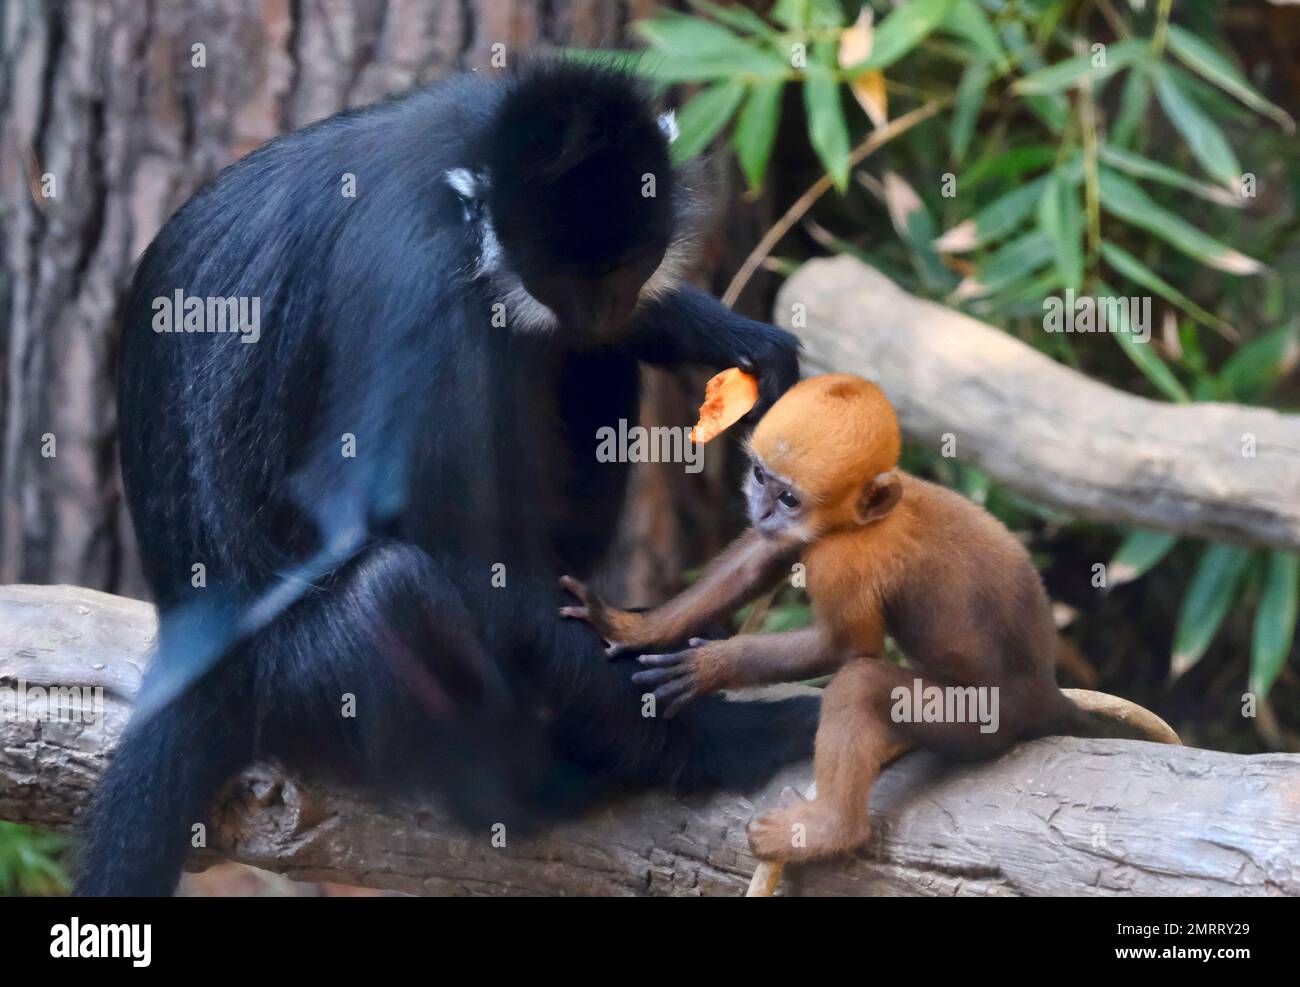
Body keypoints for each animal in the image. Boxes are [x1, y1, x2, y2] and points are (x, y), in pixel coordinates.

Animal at [78, 61, 820, 896]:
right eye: (561, 275)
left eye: (628, 269)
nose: (599, 309)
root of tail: (193, 643)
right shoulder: (421, 276)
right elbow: (465, 565)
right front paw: (726, 738)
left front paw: (730, 338)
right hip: (293, 675)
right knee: (392, 591)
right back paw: (534, 791)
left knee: (580, 360)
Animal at [561, 373, 1178, 865]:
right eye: (759, 477)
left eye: (789, 498)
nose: (762, 508)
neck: (870, 518)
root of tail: (1044, 693)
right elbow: (757, 560)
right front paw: (627, 628)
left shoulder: (844, 557)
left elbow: (845, 649)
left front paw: (710, 666)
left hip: (981, 721)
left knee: (862, 685)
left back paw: (833, 831)